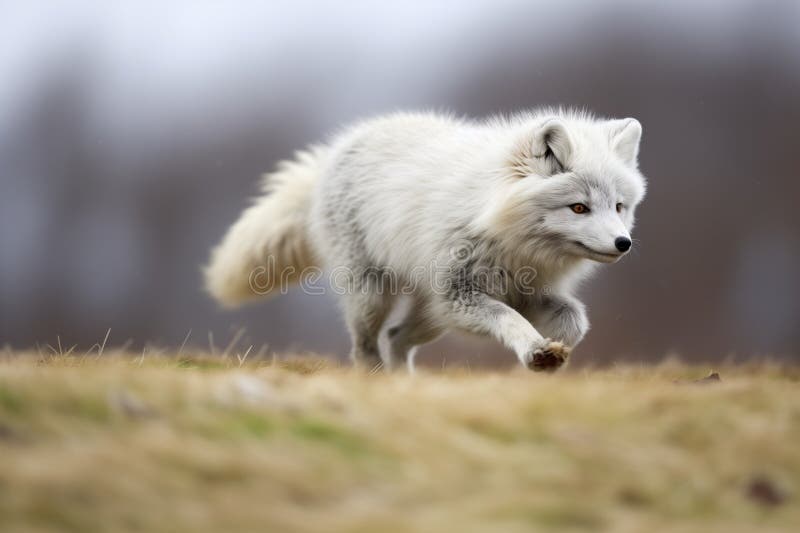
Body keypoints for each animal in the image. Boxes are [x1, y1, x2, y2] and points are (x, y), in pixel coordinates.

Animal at [205, 109, 646, 372]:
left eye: (619, 206)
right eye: (579, 208)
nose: (623, 243)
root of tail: (333, 154)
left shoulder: (526, 293)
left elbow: (574, 322)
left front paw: (552, 351)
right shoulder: (462, 296)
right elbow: (510, 320)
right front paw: (535, 350)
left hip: (432, 315)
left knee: (396, 338)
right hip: (378, 298)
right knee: (367, 345)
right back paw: (375, 381)